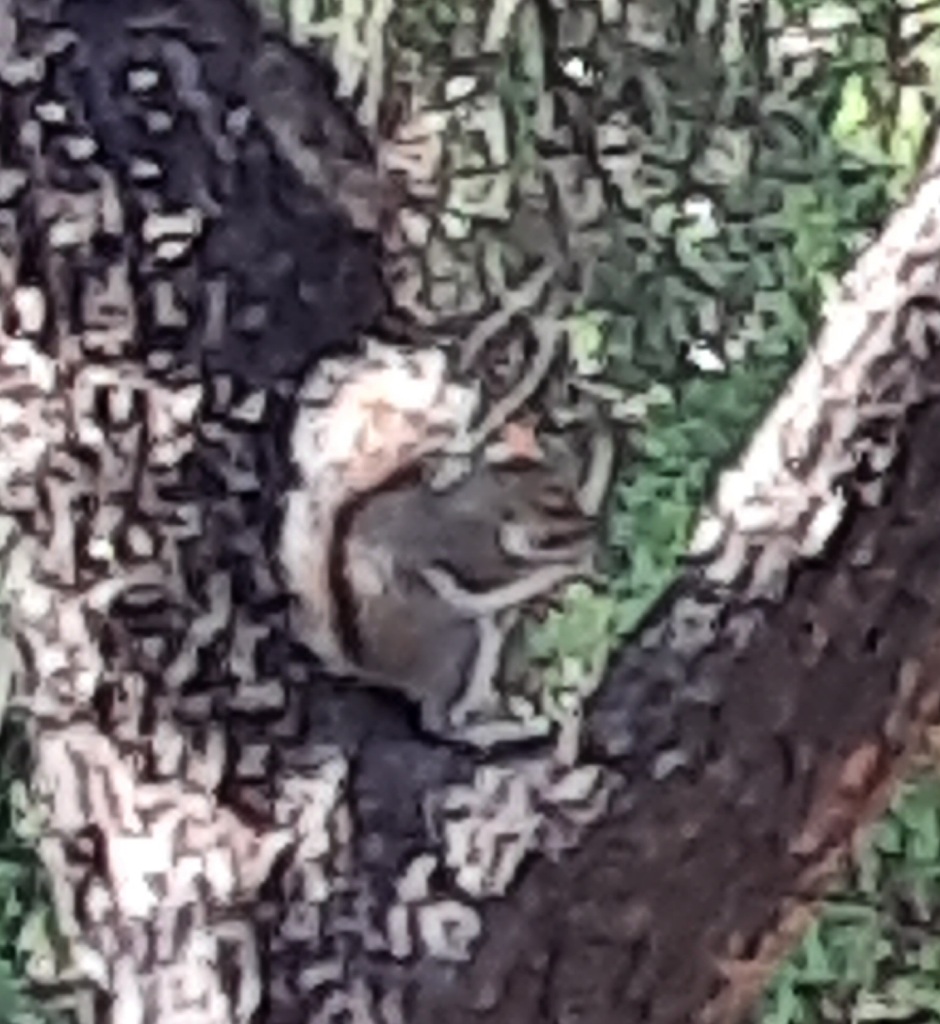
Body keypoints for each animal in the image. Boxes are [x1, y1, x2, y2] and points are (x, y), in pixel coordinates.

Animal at [279, 338, 597, 747]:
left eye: (566, 486)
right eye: (553, 501)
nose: (593, 525)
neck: (490, 504)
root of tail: (381, 675)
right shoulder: (472, 555)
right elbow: (513, 573)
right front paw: (569, 563)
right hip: (457, 645)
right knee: (441, 722)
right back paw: (517, 727)